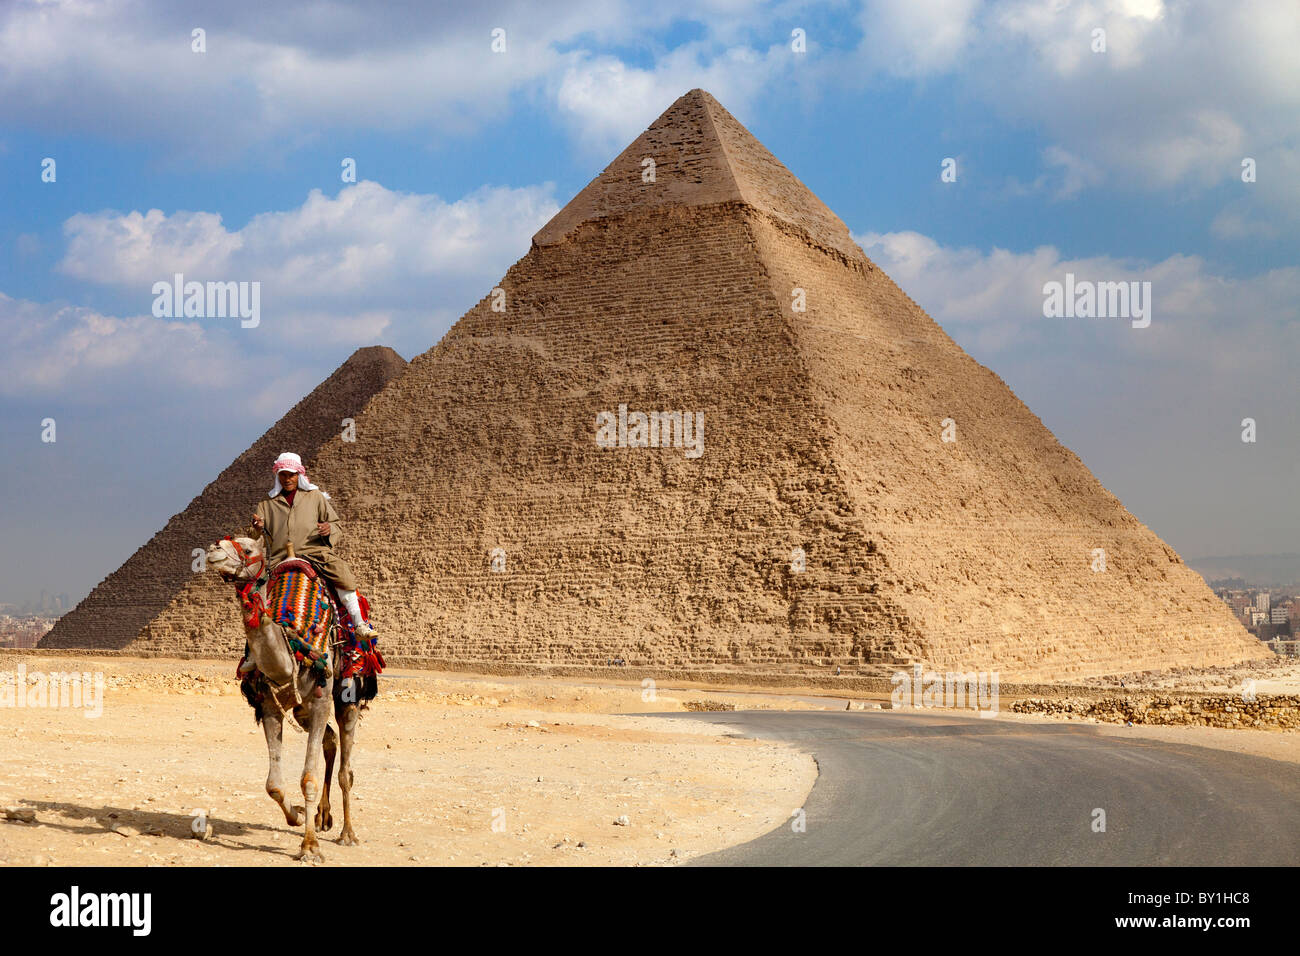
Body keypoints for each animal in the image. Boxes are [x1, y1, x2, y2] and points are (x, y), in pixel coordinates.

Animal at [206, 535, 366, 861]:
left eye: (248, 549)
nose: (212, 551)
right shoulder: (270, 709)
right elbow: (274, 785)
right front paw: (298, 816)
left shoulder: (321, 702)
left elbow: (308, 779)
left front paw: (310, 847)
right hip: (301, 711)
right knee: (330, 741)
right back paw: (322, 816)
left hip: (346, 695)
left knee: (346, 768)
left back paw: (347, 833)